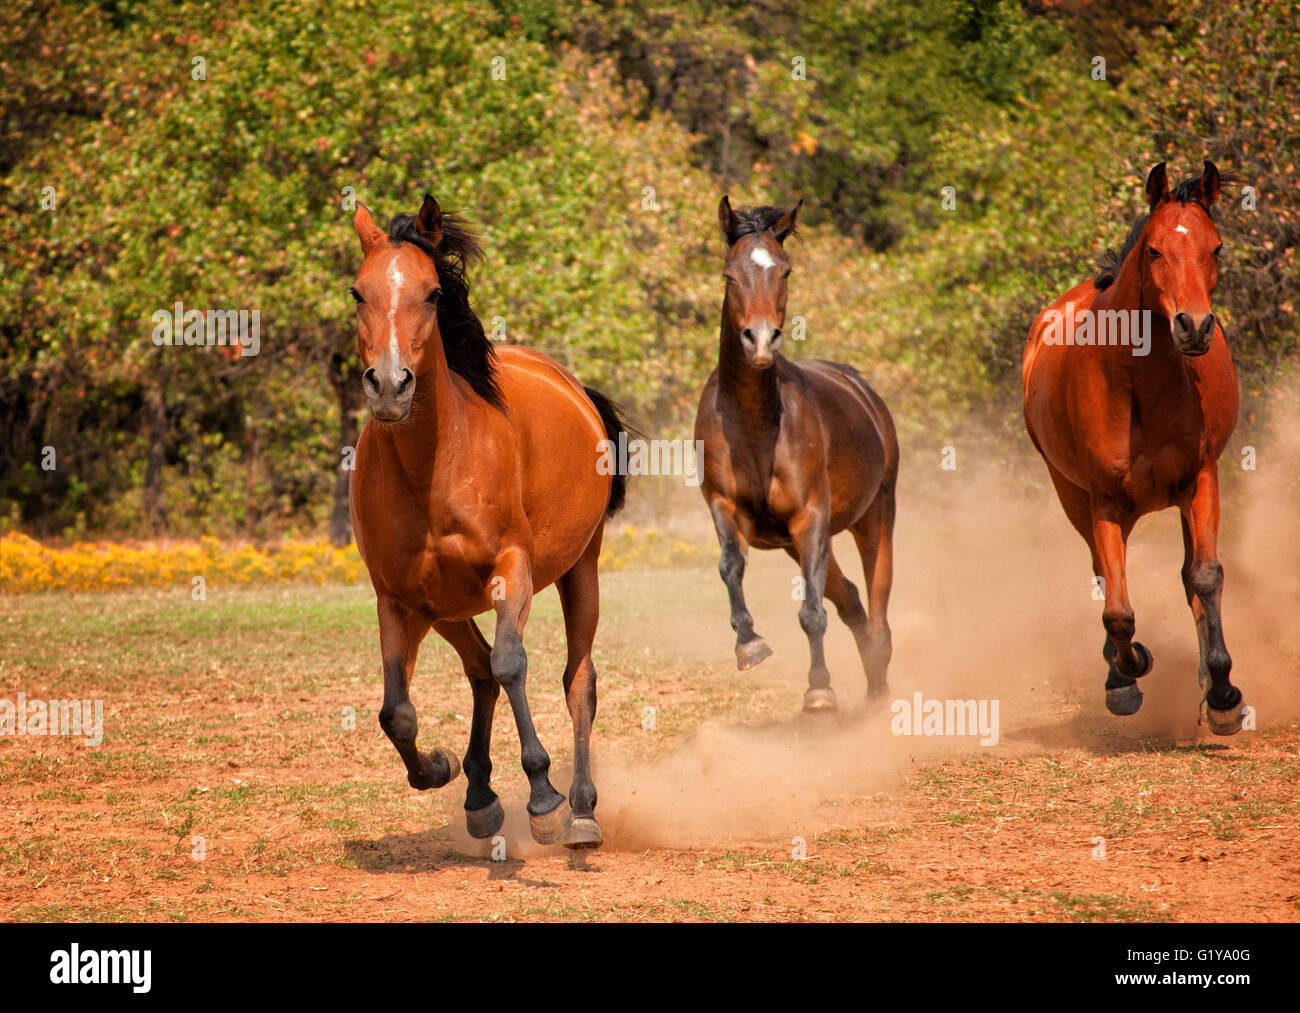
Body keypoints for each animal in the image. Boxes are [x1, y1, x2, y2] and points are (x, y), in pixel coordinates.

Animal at [347, 194, 630, 848]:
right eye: (357, 292)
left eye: (431, 293)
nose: (389, 387)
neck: (432, 466)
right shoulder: (397, 599)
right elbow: (396, 711)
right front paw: (439, 767)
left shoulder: (512, 568)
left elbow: (511, 663)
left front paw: (545, 797)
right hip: (447, 606)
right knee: (477, 673)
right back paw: (479, 796)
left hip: (582, 568)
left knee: (576, 681)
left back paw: (582, 811)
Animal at [694, 196, 900, 713]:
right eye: (729, 275)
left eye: (784, 271)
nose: (761, 340)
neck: (754, 425)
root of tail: (860, 387)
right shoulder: (725, 506)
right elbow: (730, 566)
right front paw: (749, 644)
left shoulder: (811, 515)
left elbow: (811, 610)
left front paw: (819, 688)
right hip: (795, 539)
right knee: (850, 600)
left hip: (875, 515)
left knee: (876, 602)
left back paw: (878, 690)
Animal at [1023, 161, 1246, 734]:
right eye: (1155, 250)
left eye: (1215, 248)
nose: (1194, 327)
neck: (1139, 385)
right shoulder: (1102, 501)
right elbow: (1119, 609)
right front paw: (1129, 671)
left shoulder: (1201, 480)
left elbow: (1205, 577)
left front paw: (1224, 693)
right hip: (1073, 496)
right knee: (1106, 580)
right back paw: (1120, 674)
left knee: (1189, 576)